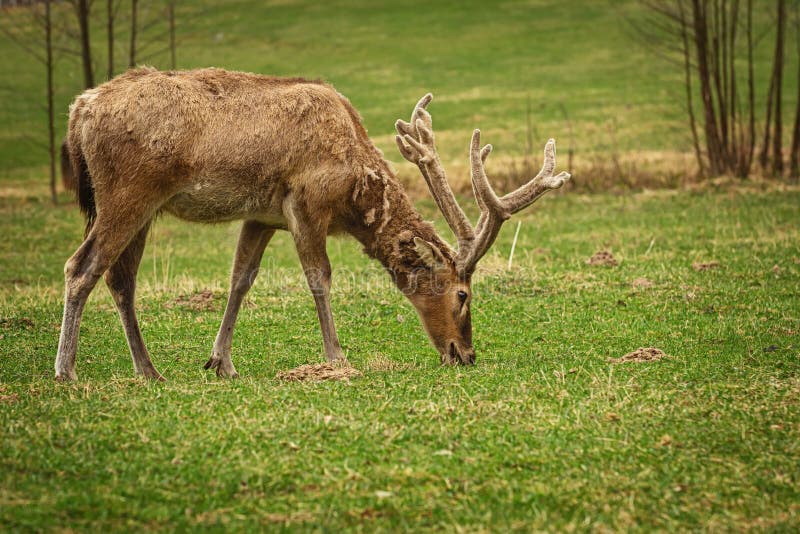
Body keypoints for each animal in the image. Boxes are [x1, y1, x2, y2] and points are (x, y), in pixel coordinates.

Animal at [55, 67, 570, 381]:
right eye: (463, 295)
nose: (465, 354)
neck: (353, 191)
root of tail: (78, 111)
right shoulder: (305, 201)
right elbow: (319, 278)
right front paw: (337, 357)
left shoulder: (261, 215)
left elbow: (241, 279)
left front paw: (221, 362)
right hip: (128, 192)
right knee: (81, 267)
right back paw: (66, 370)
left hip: (139, 206)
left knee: (120, 279)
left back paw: (148, 370)